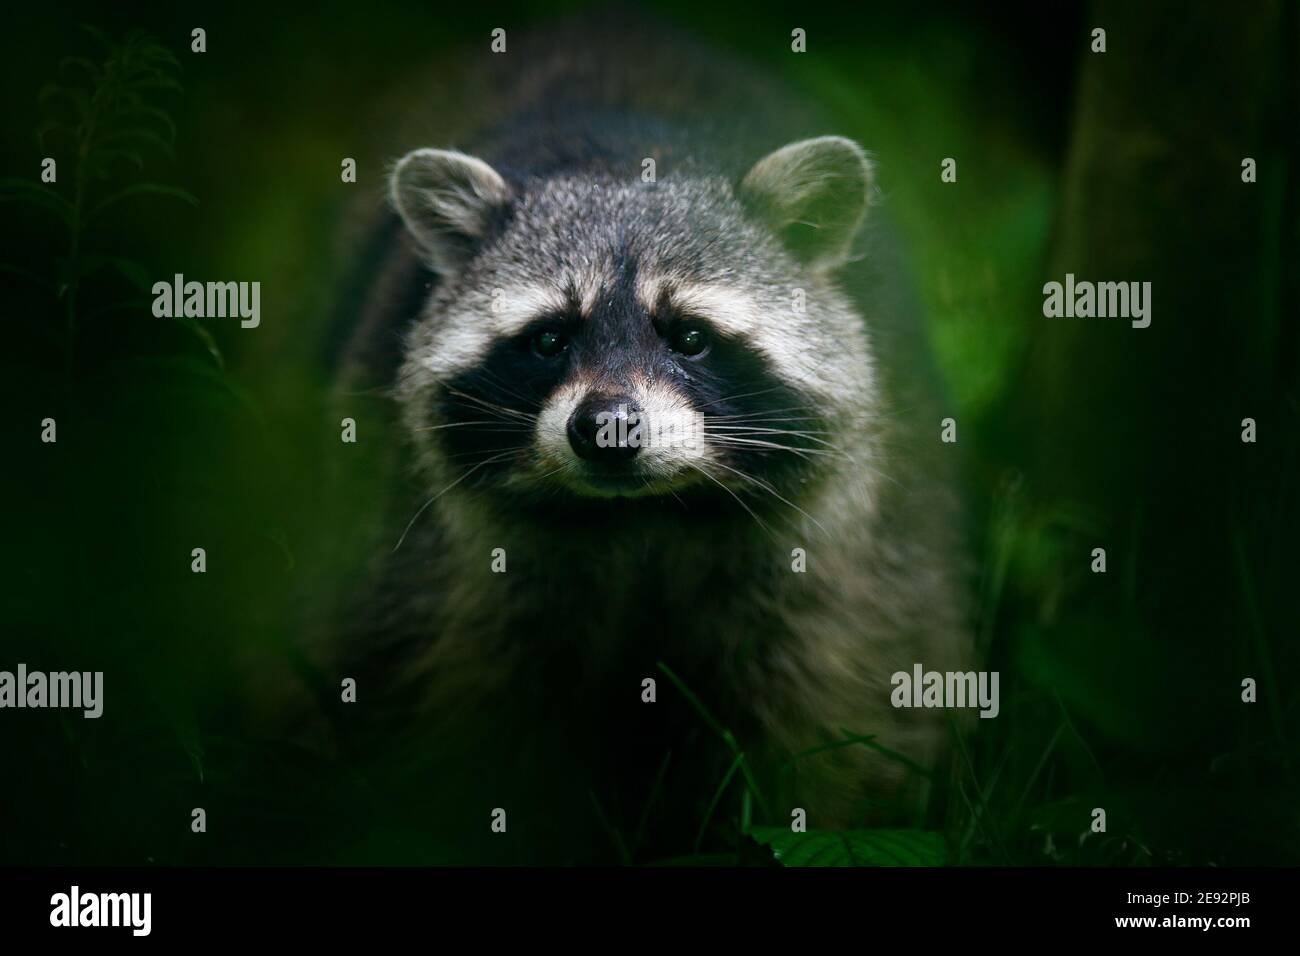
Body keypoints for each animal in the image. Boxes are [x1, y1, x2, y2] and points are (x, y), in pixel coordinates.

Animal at [321, 16, 968, 863]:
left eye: (689, 337)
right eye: (549, 339)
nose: (607, 428)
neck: (643, 516)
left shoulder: (844, 555)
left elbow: (836, 711)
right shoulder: (439, 568)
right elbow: (449, 709)